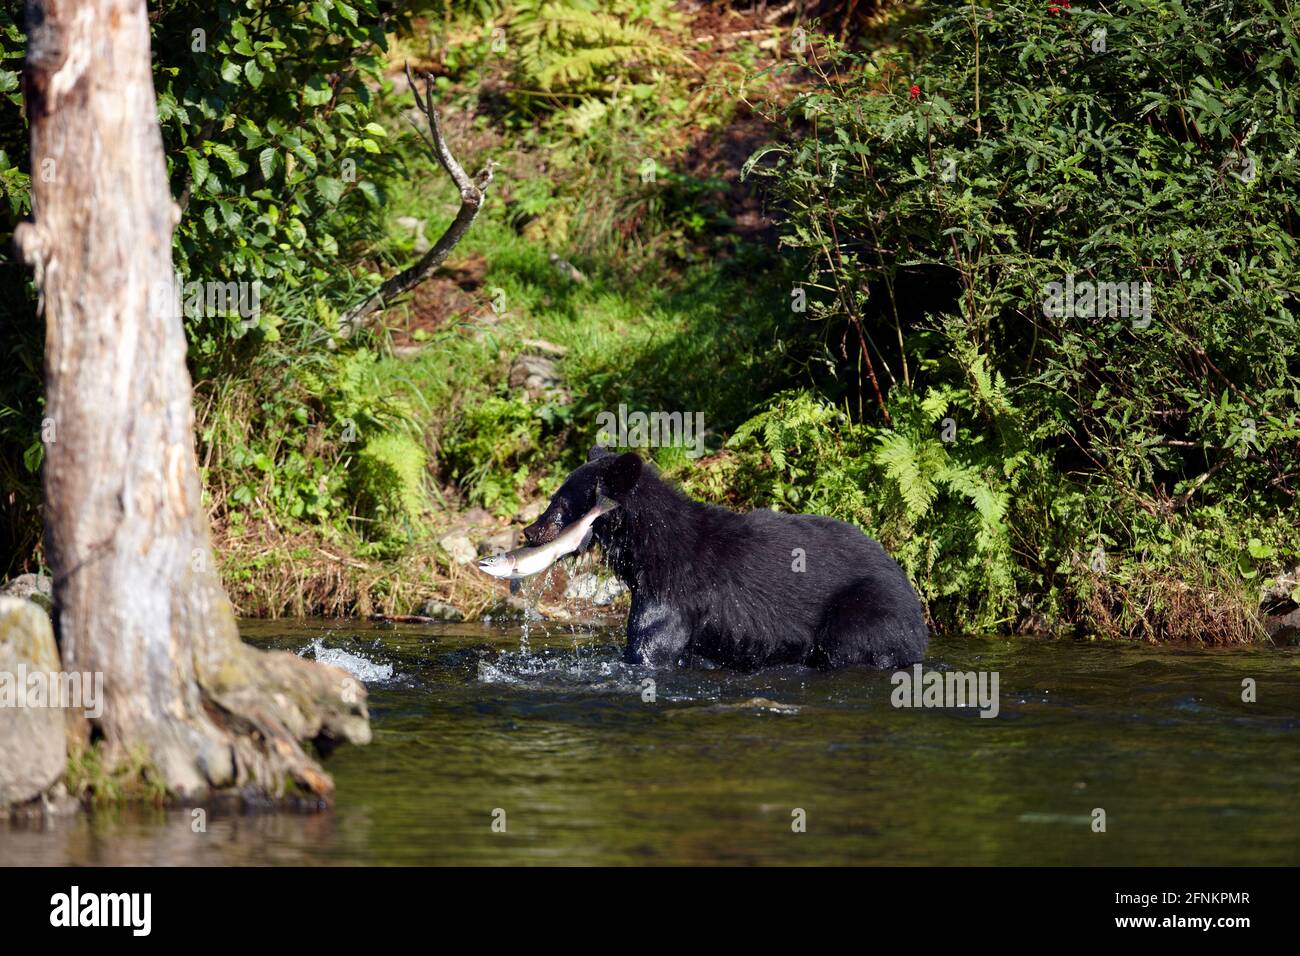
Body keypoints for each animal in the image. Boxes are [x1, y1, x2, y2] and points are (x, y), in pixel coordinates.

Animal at [522, 446, 929, 670]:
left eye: (560, 503)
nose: (529, 532)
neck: (647, 547)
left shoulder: (672, 593)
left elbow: (651, 646)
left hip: (867, 611)